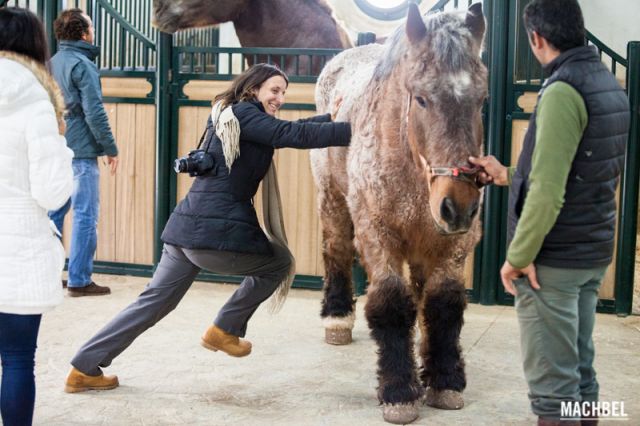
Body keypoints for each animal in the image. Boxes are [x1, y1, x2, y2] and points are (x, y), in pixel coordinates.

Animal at [310, 3, 487, 424]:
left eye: (481, 99)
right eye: (420, 98)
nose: (459, 206)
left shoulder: (454, 245)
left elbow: (444, 304)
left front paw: (444, 381)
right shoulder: (378, 235)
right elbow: (391, 303)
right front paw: (399, 391)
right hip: (333, 200)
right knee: (336, 250)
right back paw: (337, 320)